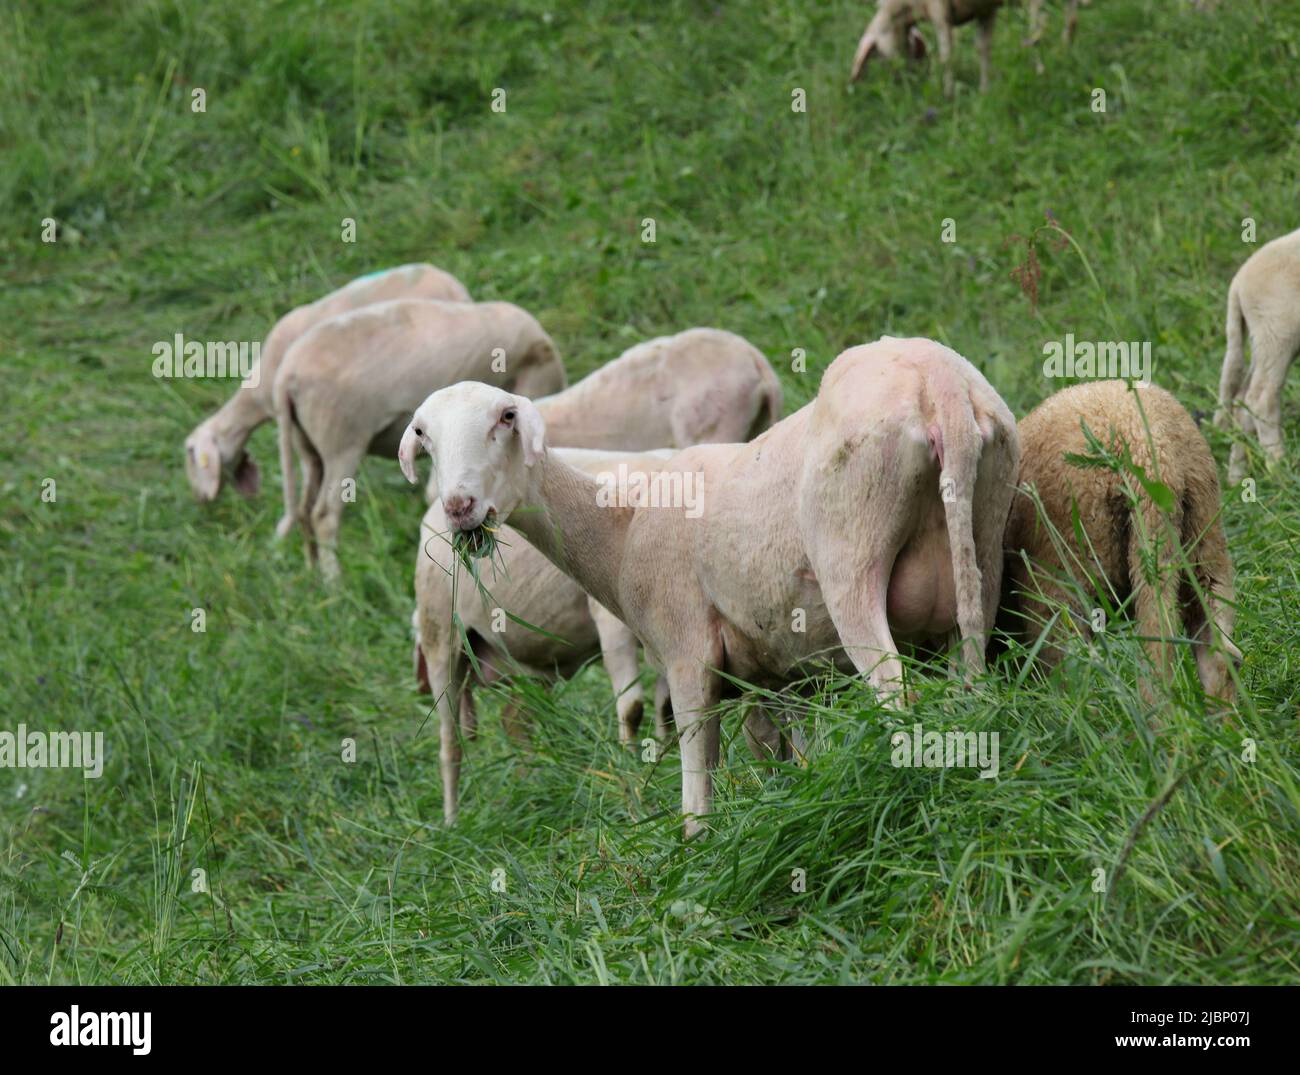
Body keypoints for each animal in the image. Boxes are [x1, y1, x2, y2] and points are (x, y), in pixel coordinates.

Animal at [274, 298, 565, 579]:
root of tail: (286, 376)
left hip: (309, 449)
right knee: (323, 515)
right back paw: (334, 580)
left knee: (304, 510)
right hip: (341, 443)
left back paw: (312, 571)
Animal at [399, 336, 1020, 835]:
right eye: (424, 435)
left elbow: (696, 787)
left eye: (505, 417)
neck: (622, 526)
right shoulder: (779, 674)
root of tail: (939, 386)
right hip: (984, 544)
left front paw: (695, 854)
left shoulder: (687, 654)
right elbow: (781, 751)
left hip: (852, 554)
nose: (459, 507)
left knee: (895, 695)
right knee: (972, 666)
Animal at [1214, 226, 1300, 486]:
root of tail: (1238, 283)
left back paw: (1236, 476)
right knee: (1261, 398)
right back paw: (1281, 471)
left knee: (1242, 401)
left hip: (1262, 338)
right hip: (1278, 331)